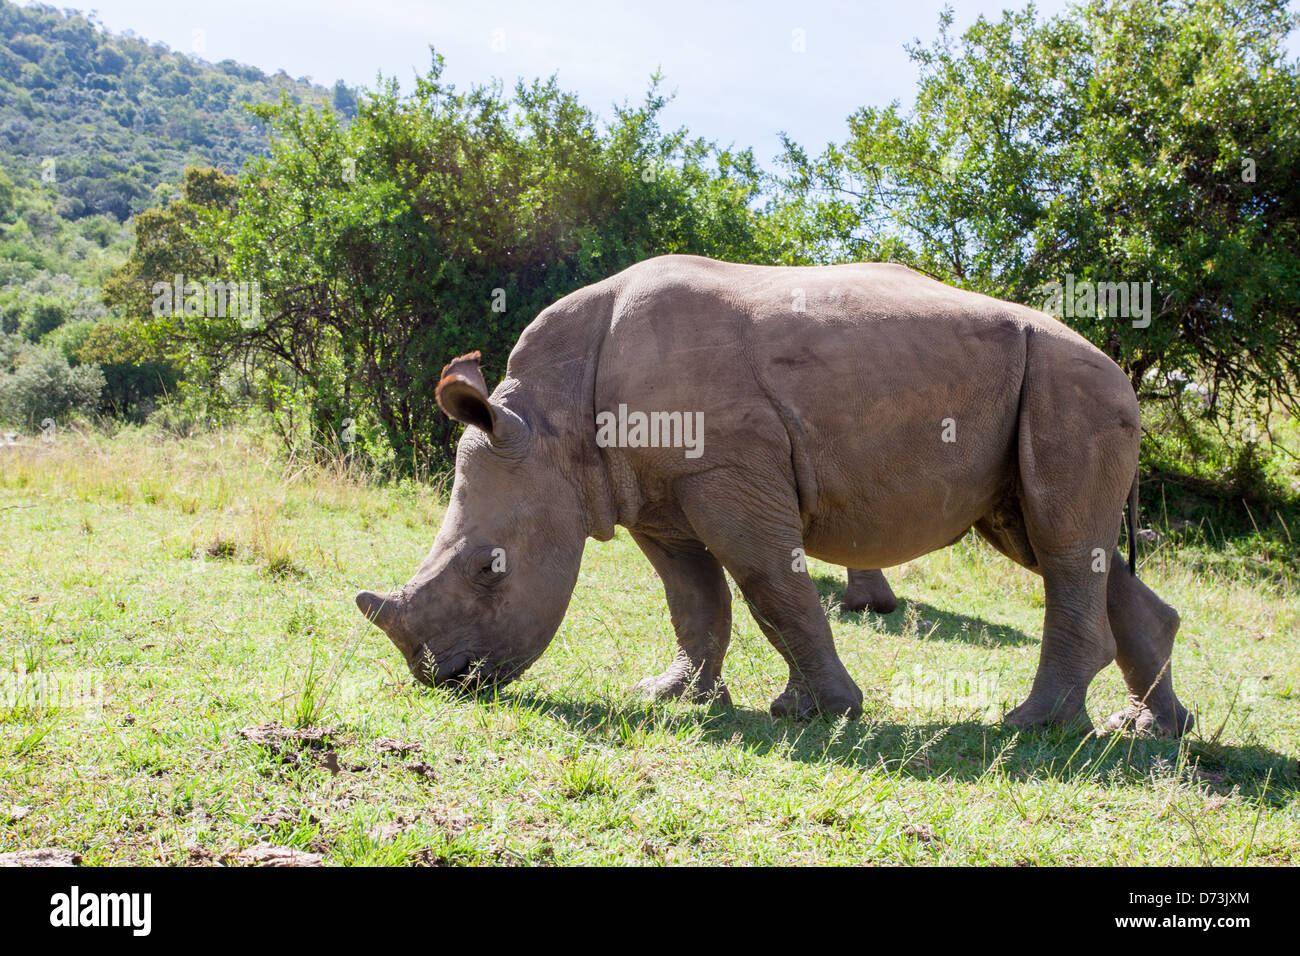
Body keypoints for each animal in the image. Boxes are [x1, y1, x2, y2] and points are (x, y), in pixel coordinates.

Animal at [357, 255, 1193, 737]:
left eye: (489, 570)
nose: (441, 679)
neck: (552, 420)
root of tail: (1121, 372)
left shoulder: (724, 474)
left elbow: (769, 585)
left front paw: (818, 714)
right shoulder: (651, 492)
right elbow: (693, 598)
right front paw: (674, 697)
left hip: (1071, 388)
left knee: (1061, 546)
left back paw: (1031, 728)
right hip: (1046, 392)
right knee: (1056, 544)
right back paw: (1150, 731)